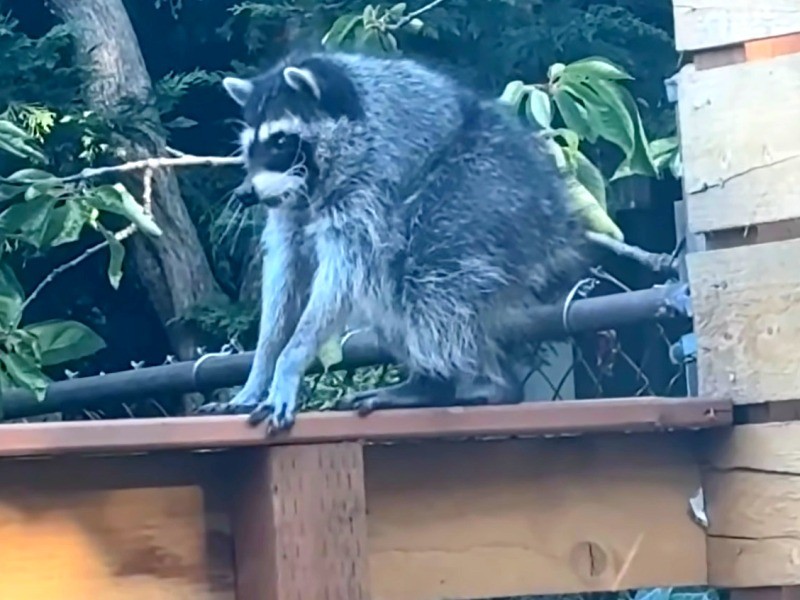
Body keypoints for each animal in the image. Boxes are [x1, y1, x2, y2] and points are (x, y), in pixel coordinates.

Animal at [198, 50, 592, 430]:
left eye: (280, 141)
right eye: (248, 147)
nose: (245, 194)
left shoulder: (369, 185)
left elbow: (339, 277)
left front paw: (290, 360)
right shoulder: (290, 209)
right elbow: (286, 275)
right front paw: (261, 369)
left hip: (485, 193)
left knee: (428, 280)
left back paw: (447, 384)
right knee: (392, 286)